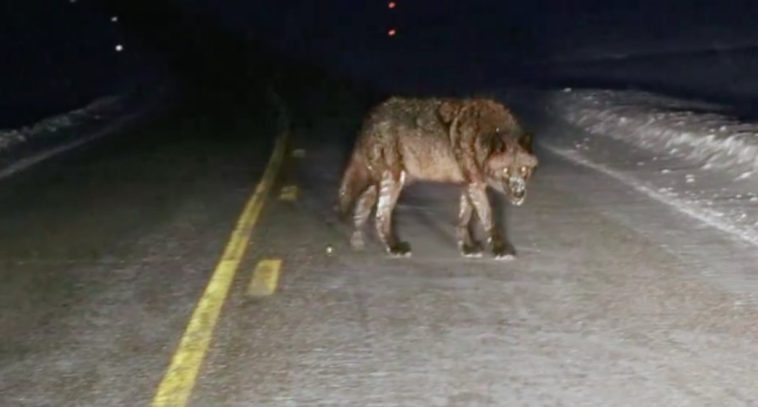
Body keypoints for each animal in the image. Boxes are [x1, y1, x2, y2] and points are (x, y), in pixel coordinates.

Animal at [337, 96, 538, 259]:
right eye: (505, 170)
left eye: (523, 169)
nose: (519, 193)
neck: (481, 135)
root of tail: (371, 116)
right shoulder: (475, 186)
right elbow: (489, 220)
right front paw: (501, 250)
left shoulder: (470, 184)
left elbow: (464, 220)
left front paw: (467, 248)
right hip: (394, 180)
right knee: (380, 215)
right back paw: (394, 247)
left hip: (397, 179)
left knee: (363, 202)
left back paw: (357, 240)